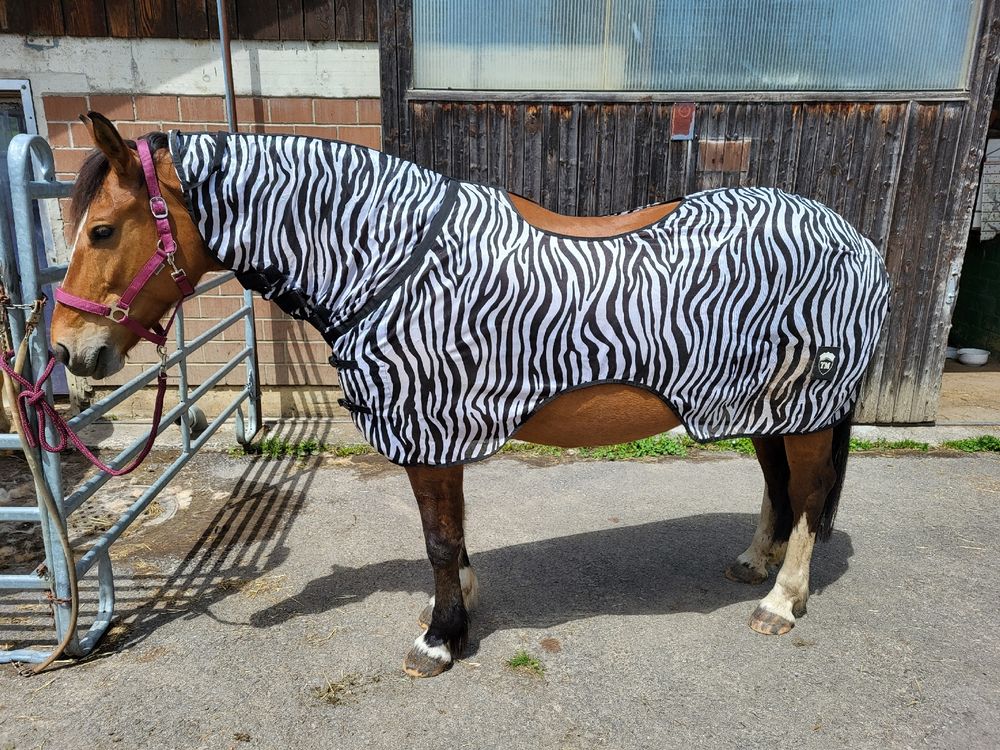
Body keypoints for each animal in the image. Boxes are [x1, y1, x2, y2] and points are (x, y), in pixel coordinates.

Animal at [50, 112, 889, 678]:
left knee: (811, 496)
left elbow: (438, 540)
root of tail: (856, 238)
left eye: (101, 230)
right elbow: (450, 534)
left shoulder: (429, 429)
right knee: (780, 486)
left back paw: (780, 601)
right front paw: (455, 608)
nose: (66, 351)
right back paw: (755, 562)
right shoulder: (440, 433)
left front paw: (439, 639)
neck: (390, 262)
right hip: (769, 409)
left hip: (807, 410)